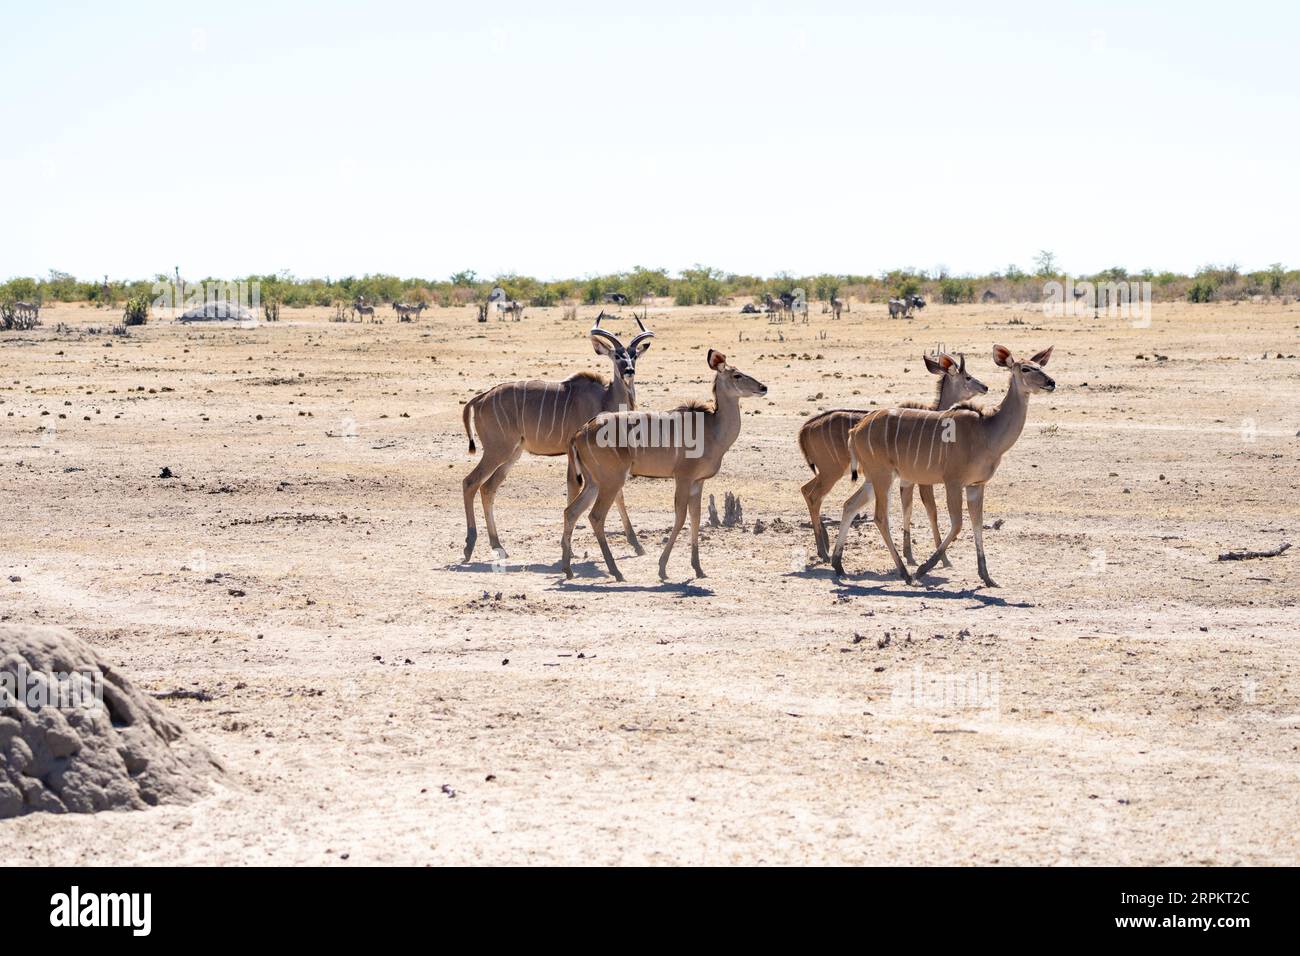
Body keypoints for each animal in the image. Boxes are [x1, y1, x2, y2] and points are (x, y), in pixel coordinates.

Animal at [461, 312, 654, 563]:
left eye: (634, 355)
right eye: (616, 356)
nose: (629, 371)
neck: (605, 398)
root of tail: (480, 398)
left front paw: (637, 545)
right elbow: (578, 488)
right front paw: (569, 550)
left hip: (512, 453)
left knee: (487, 488)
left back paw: (498, 546)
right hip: (497, 451)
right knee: (470, 482)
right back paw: (469, 546)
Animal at [561, 349, 767, 582]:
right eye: (737, 375)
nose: (763, 387)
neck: (713, 429)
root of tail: (580, 432)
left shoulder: (698, 482)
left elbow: (695, 518)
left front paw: (698, 569)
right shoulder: (683, 478)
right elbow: (681, 517)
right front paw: (662, 568)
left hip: (594, 482)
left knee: (571, 512)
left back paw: (569, 570)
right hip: (611, 481)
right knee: (595, 516)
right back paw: (616, 572)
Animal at [797, 351, 987, 563]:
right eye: (968, 377)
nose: (985, 387)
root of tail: (805, 428)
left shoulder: (907, 479)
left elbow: (908, 508)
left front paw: (909, 555)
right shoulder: (922, 481)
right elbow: (931, 510)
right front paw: (942, 559)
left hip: (826, 473)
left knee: (806, 490)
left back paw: (824, 546)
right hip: (832, 472)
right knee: (814, 496)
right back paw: (823, 550)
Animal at [830, 345, 1055, 586]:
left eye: (1041, 366)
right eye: (1026, 368)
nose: (1051, 382)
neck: (987, 430)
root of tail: (855, 429)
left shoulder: (976, 485)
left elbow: (977, 523)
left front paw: (987, 577)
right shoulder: (953, 482)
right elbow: (957, 523)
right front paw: (923, 569)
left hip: (874, 479)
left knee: (850, 505)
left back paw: (838, 565)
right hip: (883, 477)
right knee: (880, 517)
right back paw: (905, 573)